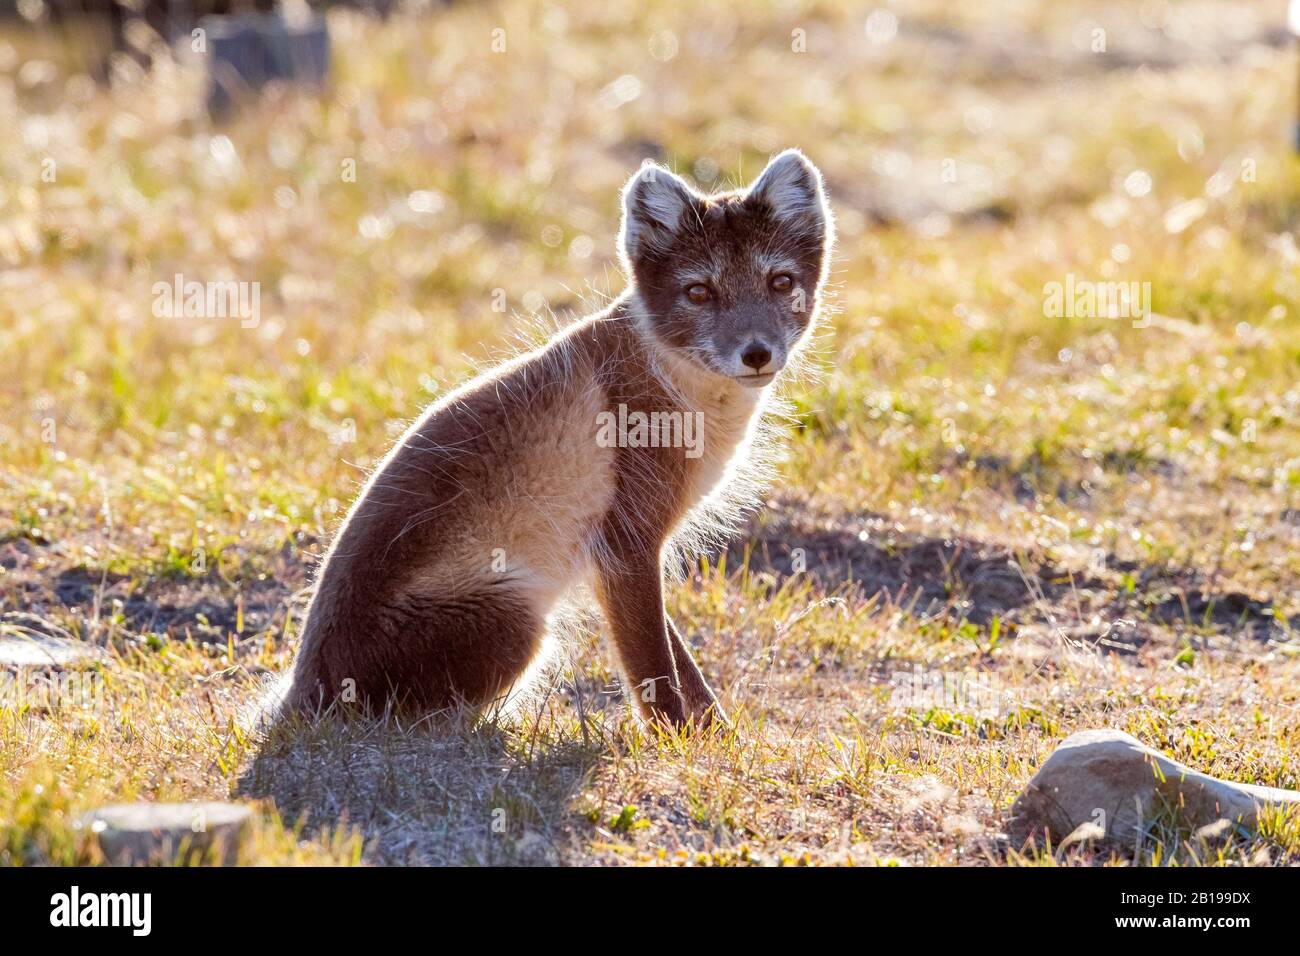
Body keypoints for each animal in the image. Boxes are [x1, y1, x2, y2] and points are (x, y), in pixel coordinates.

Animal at [276, 149, 834, 729]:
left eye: (780, 282)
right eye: (699, 292)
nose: (757, 352)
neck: (672, 379)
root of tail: (301, 690)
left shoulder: (618, 558)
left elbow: (678, 658)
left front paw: (714, 734)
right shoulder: (627, 543)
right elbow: (654, 669)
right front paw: (675, 740)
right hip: (517, 624)